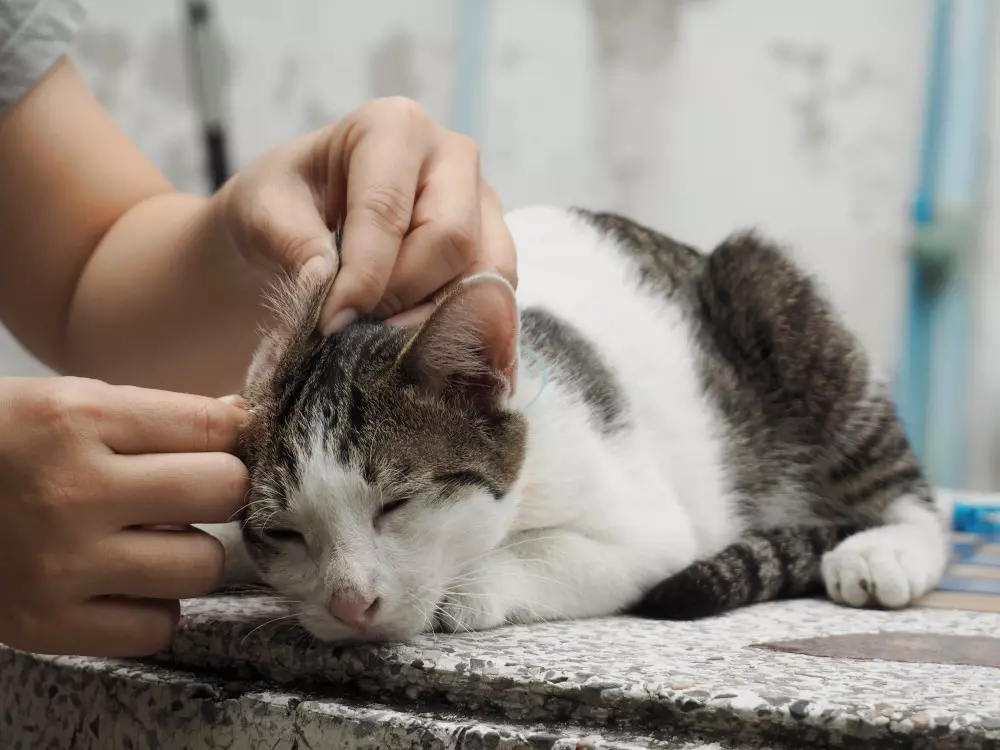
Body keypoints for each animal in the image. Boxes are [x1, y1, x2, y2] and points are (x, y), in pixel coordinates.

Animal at [215, 207, 948, 648]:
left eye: (397, 504)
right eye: (282, 533)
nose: (350, 606)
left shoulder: (648, 525)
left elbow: (562, 554)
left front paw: (468, 590)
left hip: (772, 298)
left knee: (913, 496)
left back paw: (885, 550)